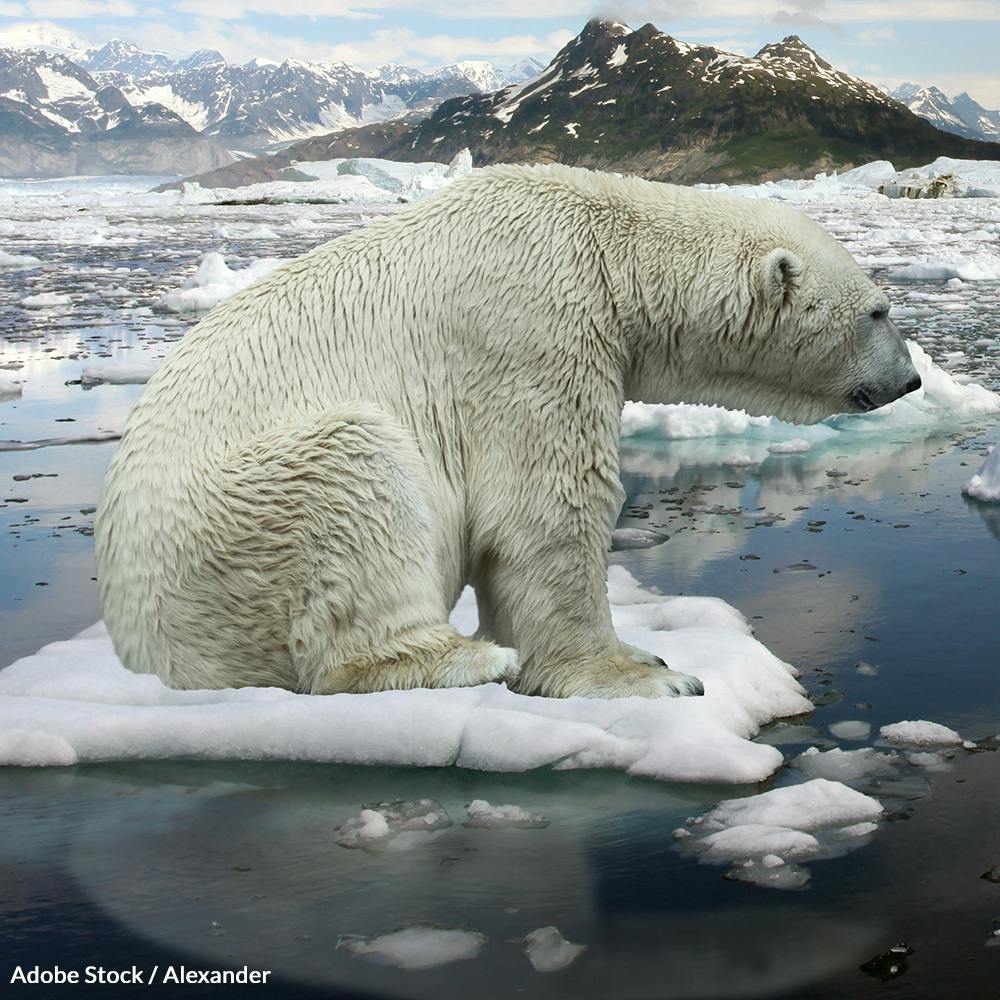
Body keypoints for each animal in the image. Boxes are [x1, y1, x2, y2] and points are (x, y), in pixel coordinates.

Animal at [95, 163, 921, 699]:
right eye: (880, 311)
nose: (912, 380)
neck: (609, 248)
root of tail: (135, 643)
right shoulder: (535, 335)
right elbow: (546, 511)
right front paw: (645, 677)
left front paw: (645, 654)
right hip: (233, 530)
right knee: (354, 474)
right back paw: (466, 659)